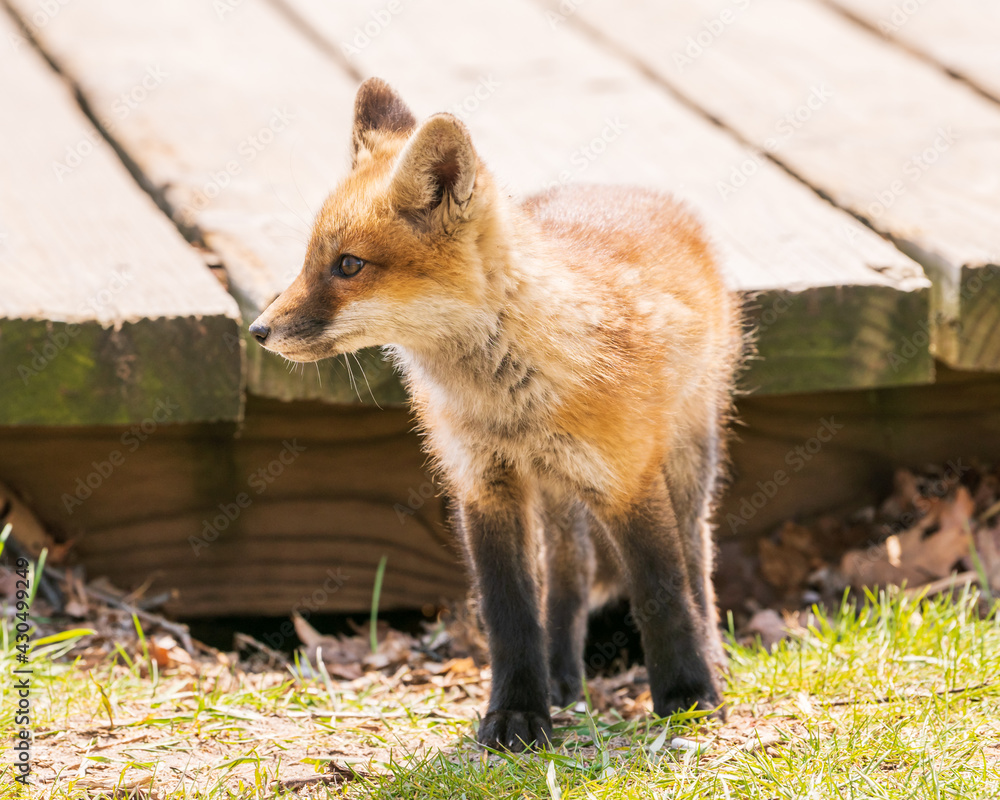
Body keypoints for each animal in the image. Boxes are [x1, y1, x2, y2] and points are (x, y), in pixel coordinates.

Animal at [250, 78, 742, 751]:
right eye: (307, 259)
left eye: (348, 265)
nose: (258, 330)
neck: (511, 401)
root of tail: (630, 189)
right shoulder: (484, 484)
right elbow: (512, 614)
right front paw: (517, 714)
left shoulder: (627, 478)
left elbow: (662, 595)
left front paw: (688, 696)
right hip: (560, 492)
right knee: (570, 573)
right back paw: (562, 679)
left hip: (687, 465)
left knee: (696, 561)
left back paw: (708, 656)